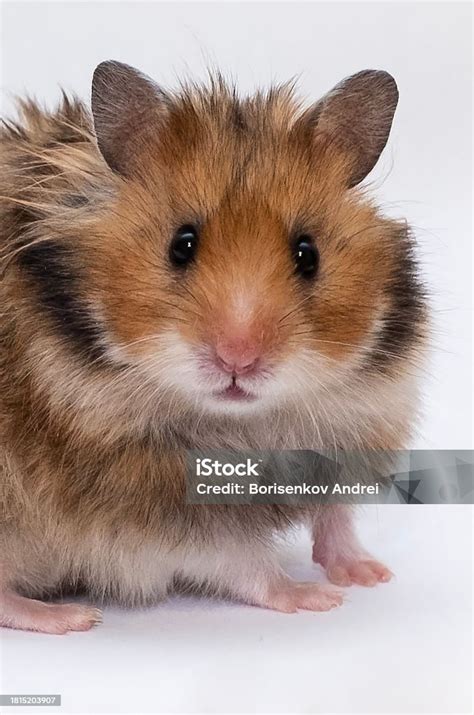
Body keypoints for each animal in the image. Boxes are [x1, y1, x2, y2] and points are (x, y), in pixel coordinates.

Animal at [0, 62, 426, 633]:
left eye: (307, 253)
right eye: (181, 245)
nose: (237, 360)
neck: (246, 425)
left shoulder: (356, 429)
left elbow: (335, 511)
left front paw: (369, 575)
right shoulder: (157, 507)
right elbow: (241, 560)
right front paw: (316, 599)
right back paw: (71, 617)